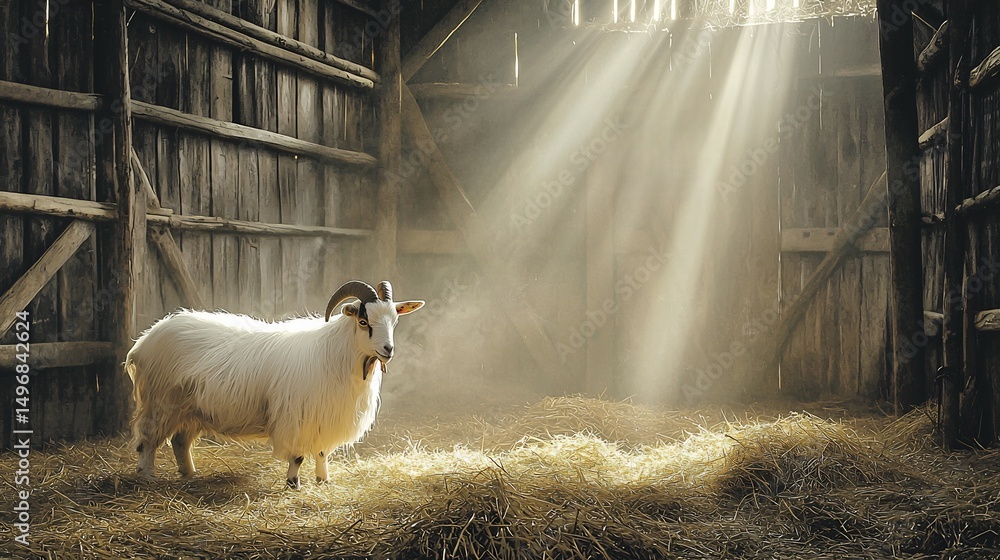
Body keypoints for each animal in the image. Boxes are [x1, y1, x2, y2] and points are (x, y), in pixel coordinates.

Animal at [124, 280, 424, 488]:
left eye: (395, 321)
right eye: (363, 321)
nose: (388, 350)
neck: (337, 353)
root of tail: (145, 339)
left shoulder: (323, 416)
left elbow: (322, 452)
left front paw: (323, 480)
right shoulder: (295, 418)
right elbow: (298, 456)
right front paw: (293, 483)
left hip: (192, 408)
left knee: (179, 441)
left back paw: (190, 473)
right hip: (161, 402)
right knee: (147, 440)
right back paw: (147, 475)